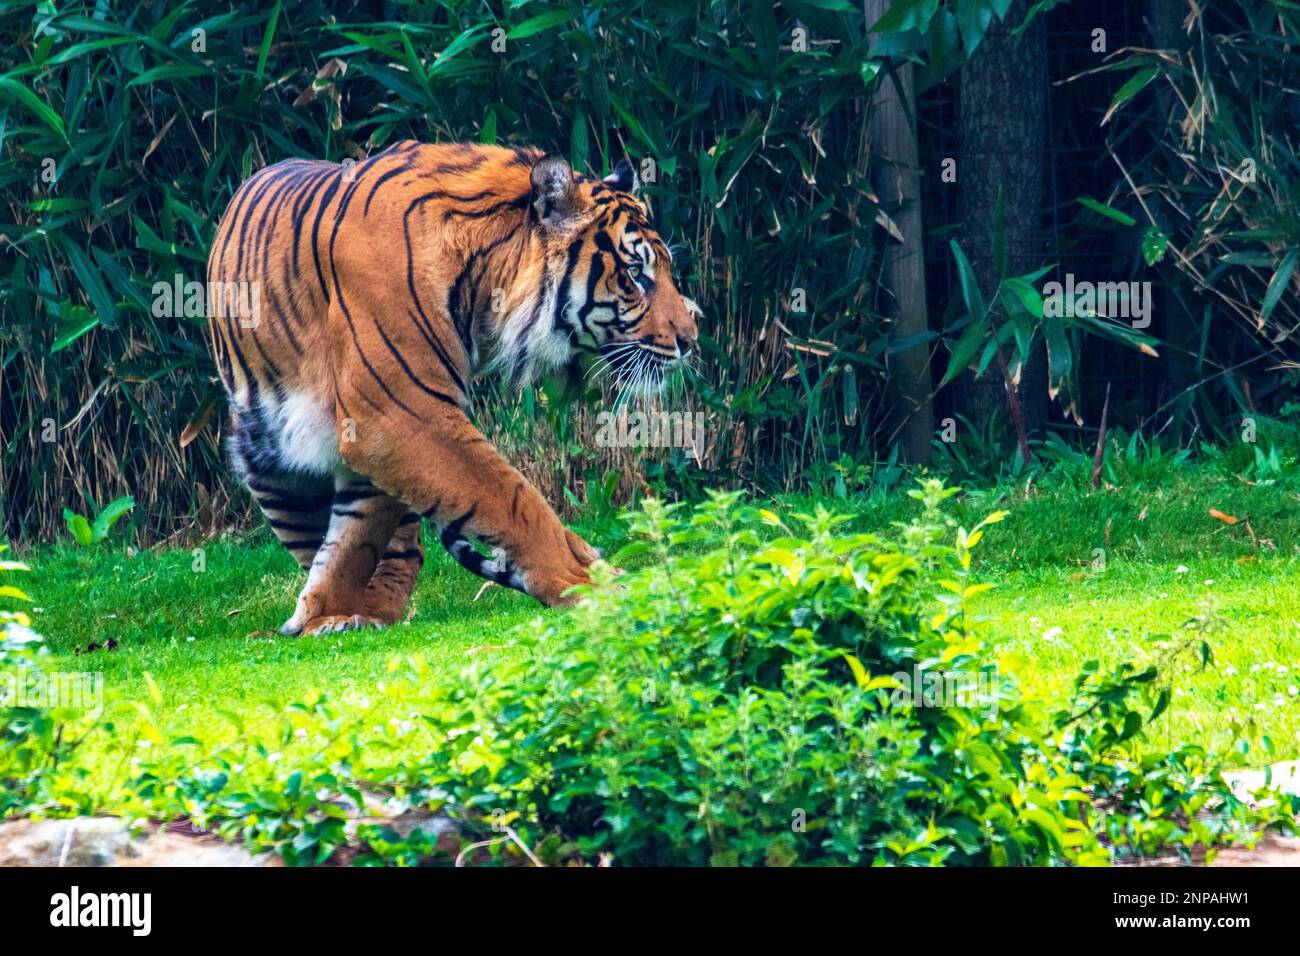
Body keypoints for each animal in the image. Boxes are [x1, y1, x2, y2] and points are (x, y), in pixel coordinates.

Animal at [205, 141, 699, 635]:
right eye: (635, 274)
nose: (691, 340)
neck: (484, 279)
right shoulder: (401, 414)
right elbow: (514, 499)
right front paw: (575, 583)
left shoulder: (384, 423)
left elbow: (357, 539)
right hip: (271, 467)